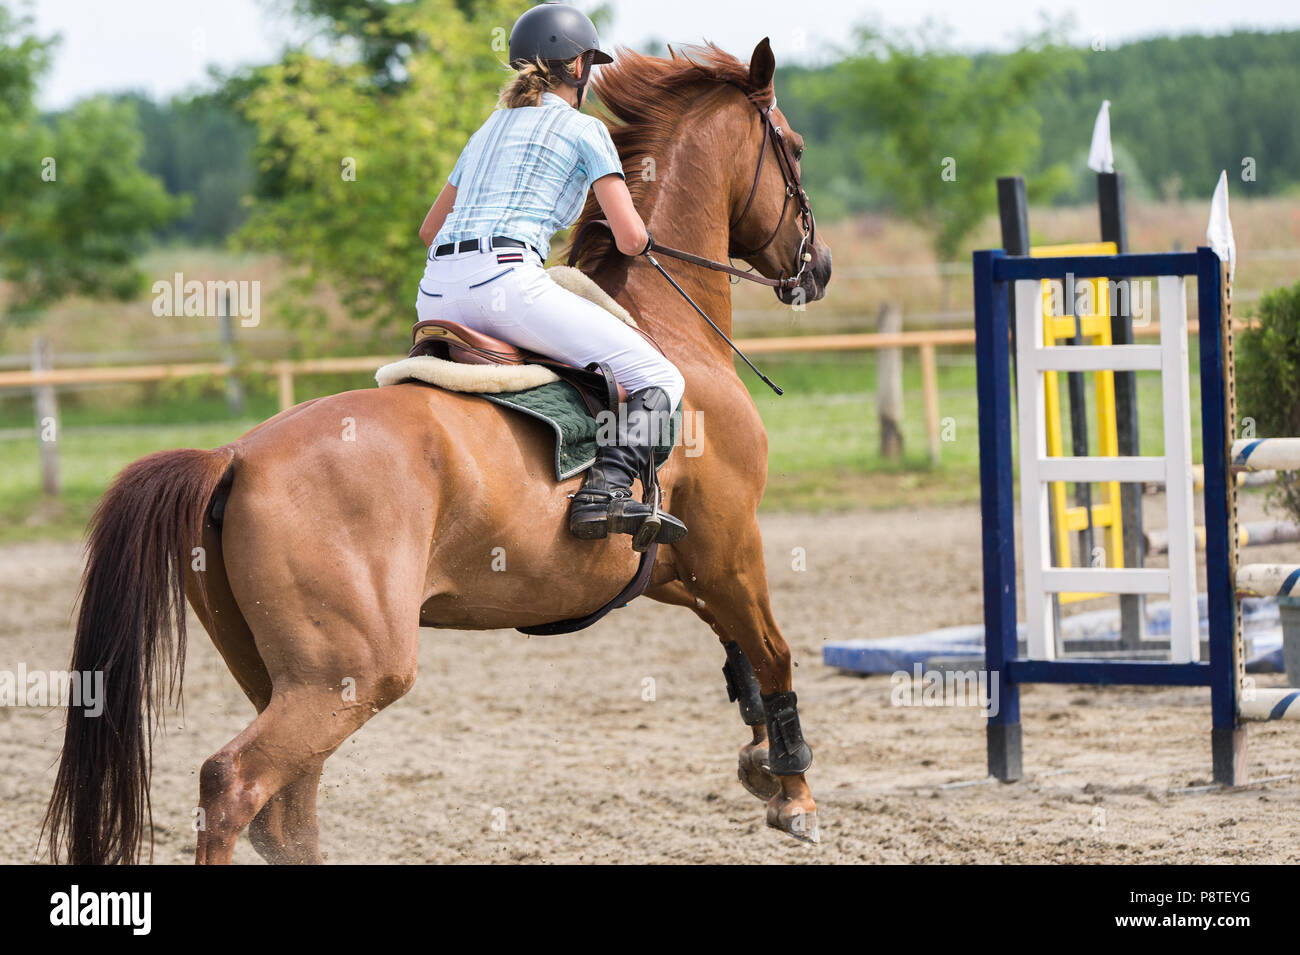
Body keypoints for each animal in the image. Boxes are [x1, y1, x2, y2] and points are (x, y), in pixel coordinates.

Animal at [44, 38, 833, 864]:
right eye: (795, 147)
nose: (818, 268)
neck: (667, 327)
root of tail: (233, 456)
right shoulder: (729, 545)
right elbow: (773, 651)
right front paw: (794, 791)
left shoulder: (673, 565)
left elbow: (740, 651)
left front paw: (759, 762)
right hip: (352, 672)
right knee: (234, 783)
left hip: (284, 675)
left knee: (286, 814)